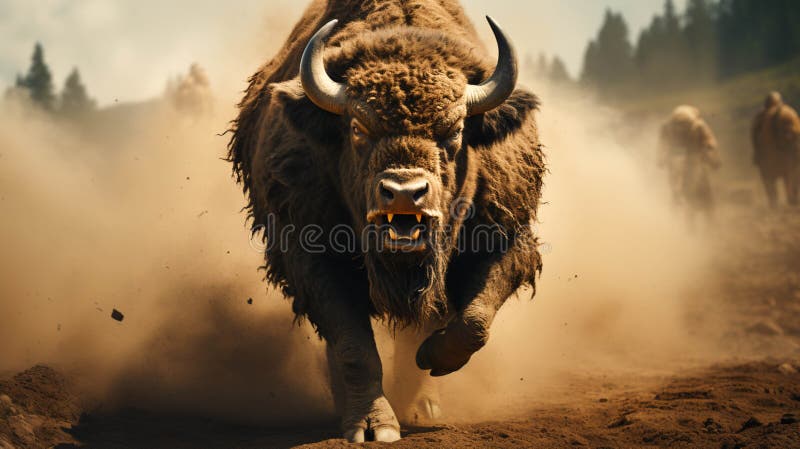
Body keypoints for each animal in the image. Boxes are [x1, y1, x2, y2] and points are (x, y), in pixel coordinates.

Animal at [228, 0, 545, 442]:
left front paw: (431, 358)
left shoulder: (507, 239)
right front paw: (372, 426)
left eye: (455, 129)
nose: (405, 191)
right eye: (357, 127)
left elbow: (473, 321)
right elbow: (353, 347)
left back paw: (424, 405)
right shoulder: (312, 259)